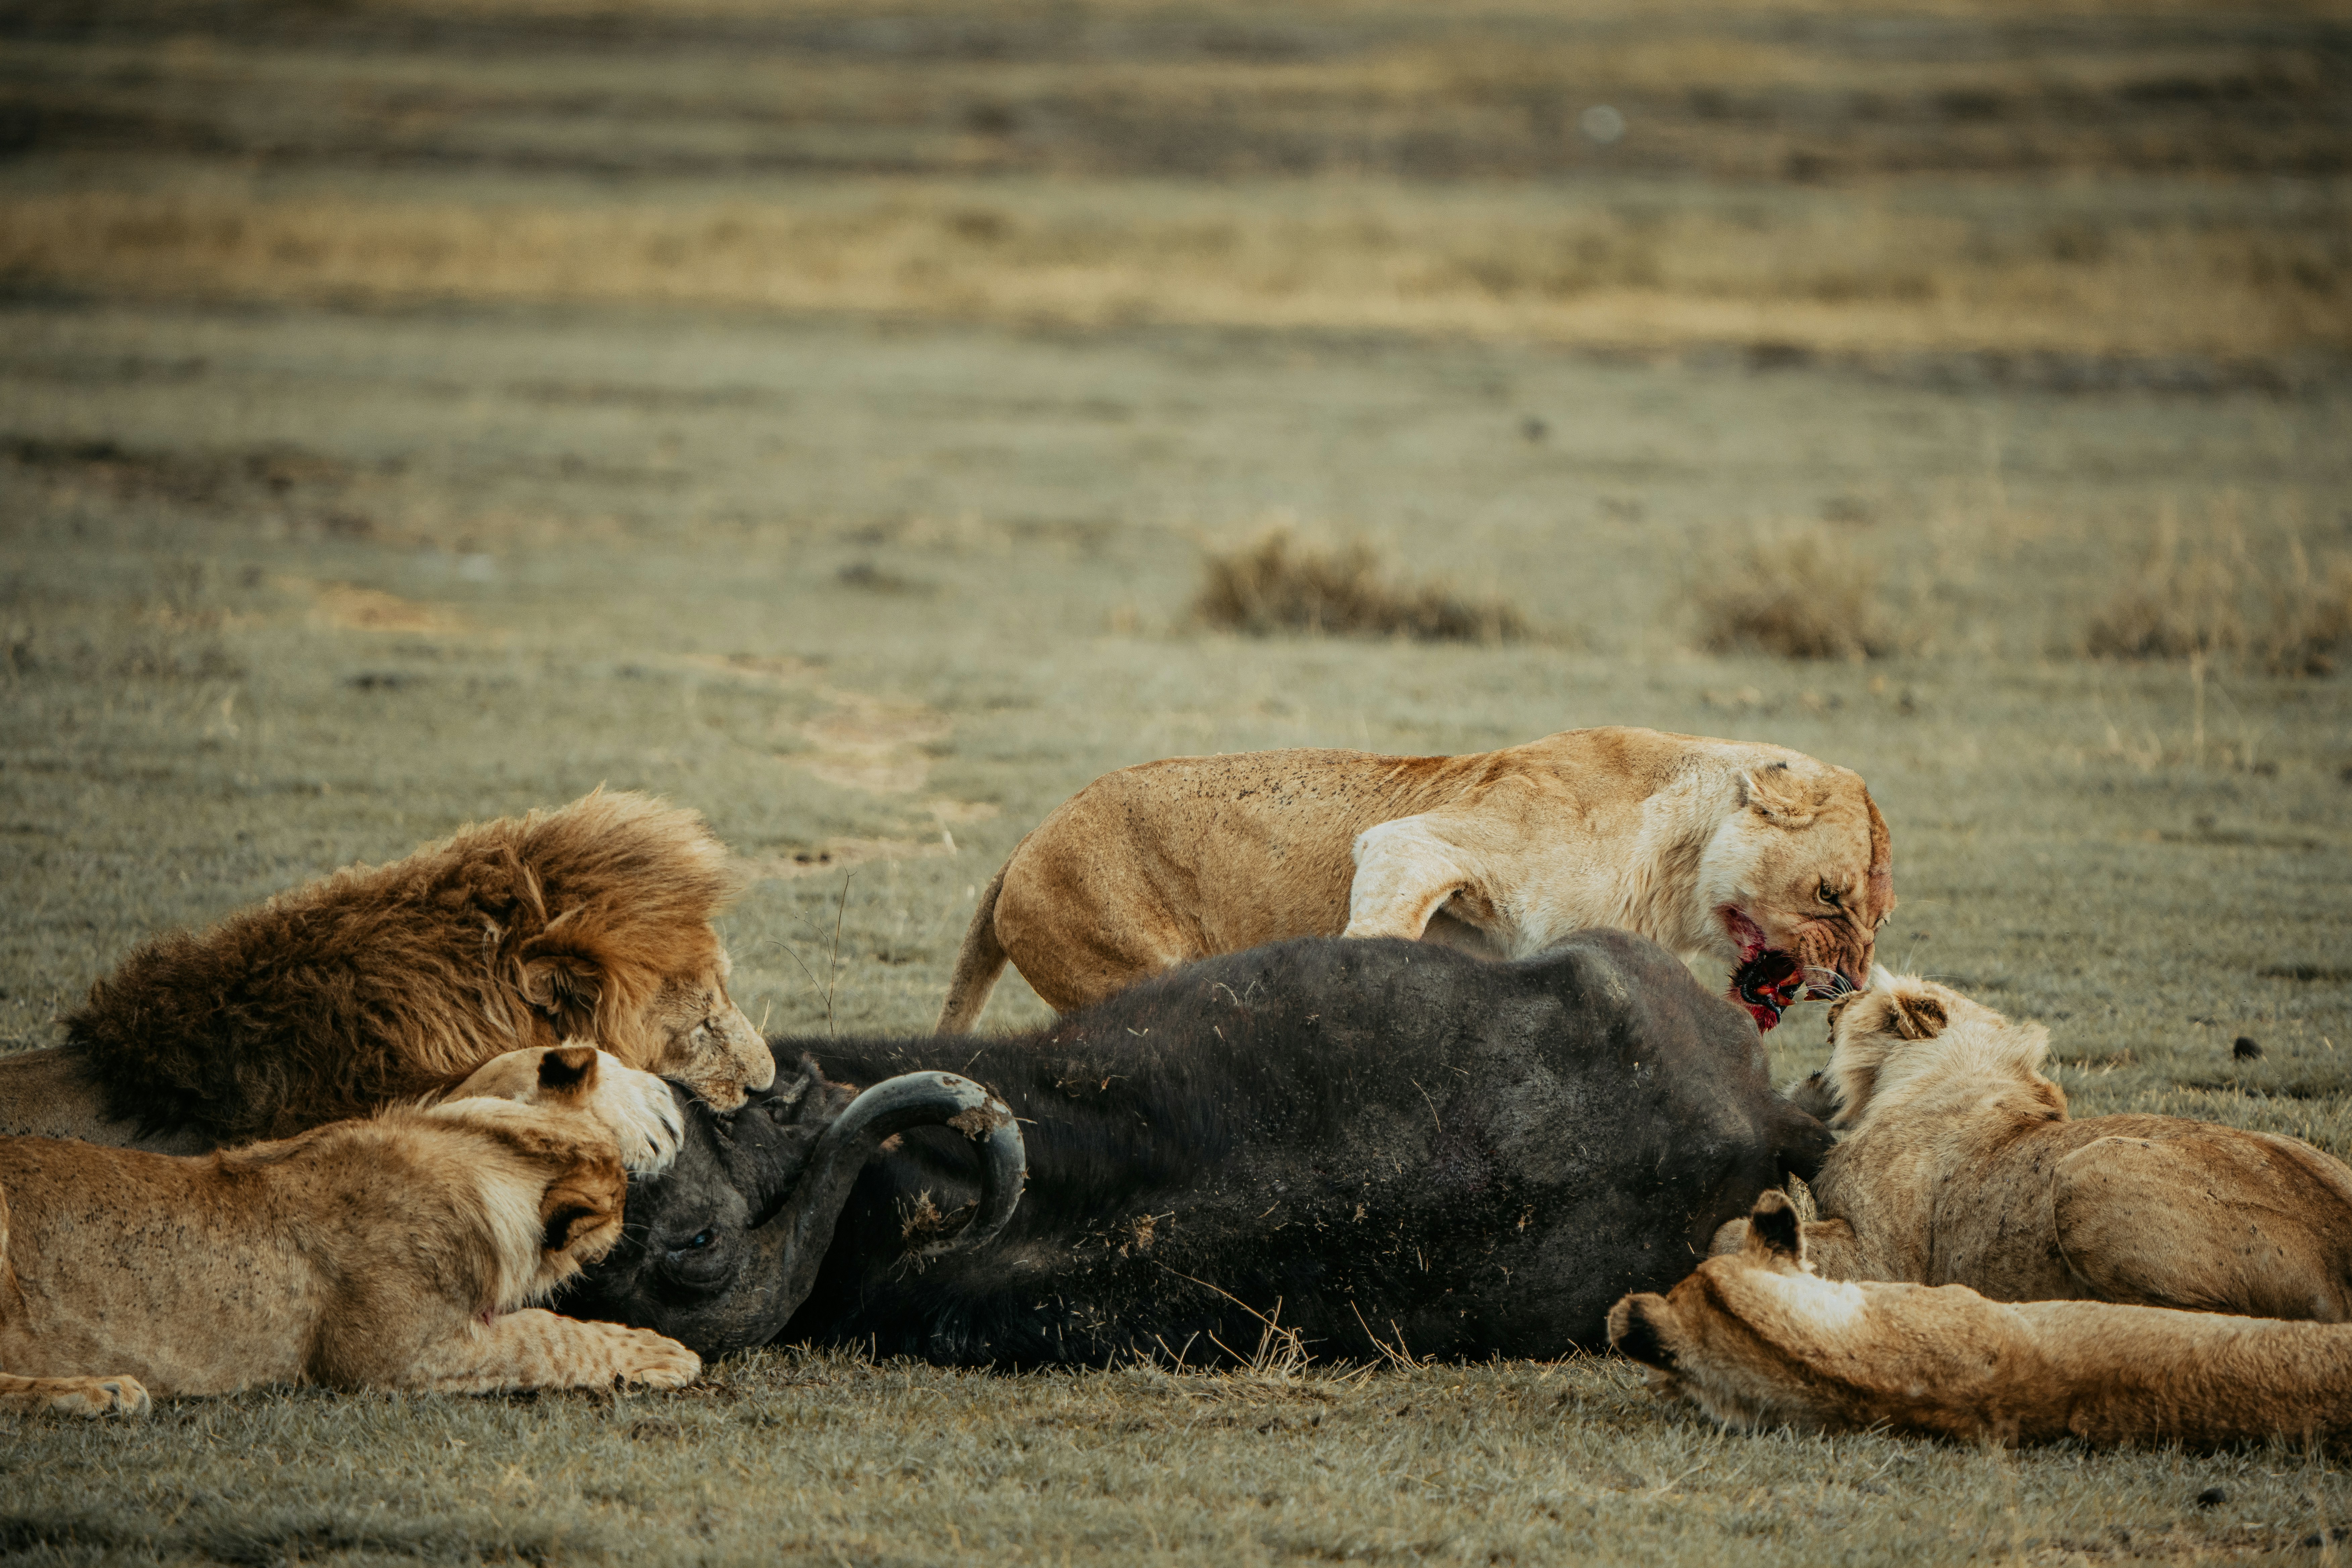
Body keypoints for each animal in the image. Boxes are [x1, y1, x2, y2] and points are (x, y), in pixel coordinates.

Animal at [1, 1043, 701, 1415]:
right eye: (617, 1208)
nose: (629, 1209)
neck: (477, 1156)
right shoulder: (394, 1355)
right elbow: (546, 1337)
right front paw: (658, 1352)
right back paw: (102, 1389)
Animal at [937, 726, 1894, 1034]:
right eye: (1830, 895)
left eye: (1877, 917)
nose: (1848, 982)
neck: (1676, 860)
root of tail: (1026, 840)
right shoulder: (1413, 837)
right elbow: (1382, 929)